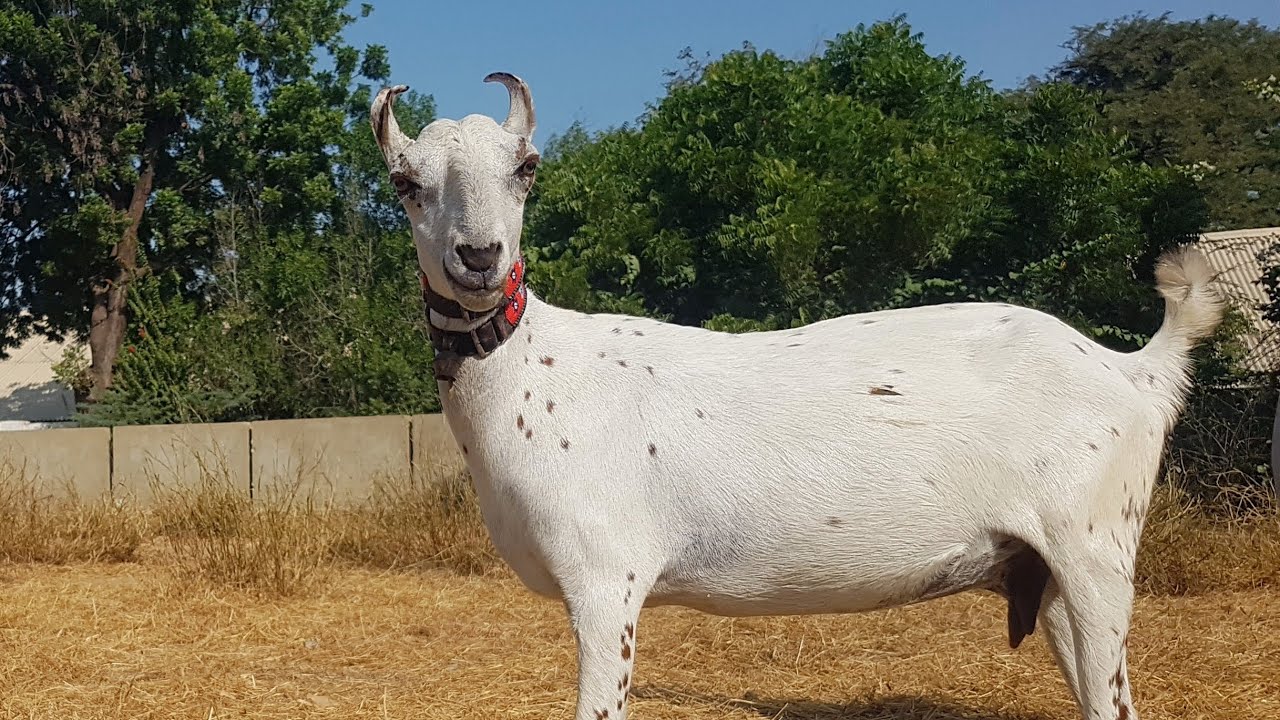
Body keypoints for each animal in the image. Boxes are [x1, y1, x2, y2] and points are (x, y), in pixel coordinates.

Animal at [371, 73, 1223, 720]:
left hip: (1096, 550)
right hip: (1044, 574)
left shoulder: (605, 581)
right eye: (405, 183)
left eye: (527, 168)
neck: (533, 372)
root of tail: (1135, 372)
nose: (480, 256)